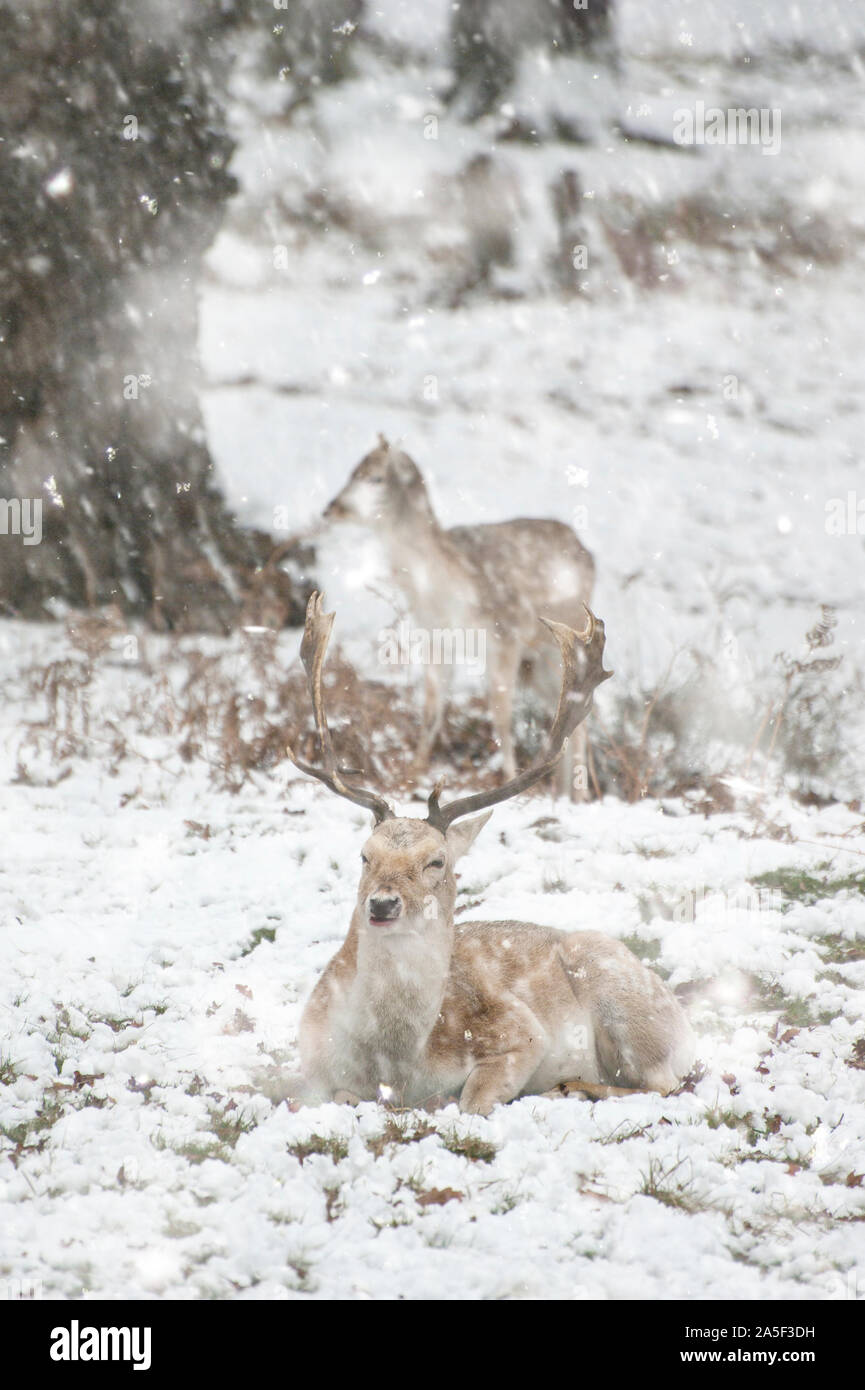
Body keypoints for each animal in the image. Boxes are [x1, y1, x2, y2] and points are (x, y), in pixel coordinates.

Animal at [286, 593, 696, 1116]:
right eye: (364, 855)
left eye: (436, 861)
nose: (382, 903)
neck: (394, 1066)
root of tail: (683, 1021)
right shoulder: (311, 1064)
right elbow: (334, 1096)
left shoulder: (520, 1032)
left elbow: (472, 1100)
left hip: (625, 1000)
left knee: (665, 1084)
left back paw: (574, 1086)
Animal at [322, 436, 595, 798]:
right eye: (353, 470)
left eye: (375, 477)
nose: (331, 509)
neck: (444, 592)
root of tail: (589, 555)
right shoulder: (434, 636)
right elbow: (432, 707)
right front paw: (413, 772)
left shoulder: (505, 636)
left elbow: (501, 715)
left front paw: (509, 780)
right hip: (536, 663)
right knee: (564, 712)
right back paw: (562, 793)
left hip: (566, 643)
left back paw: (579, 794)